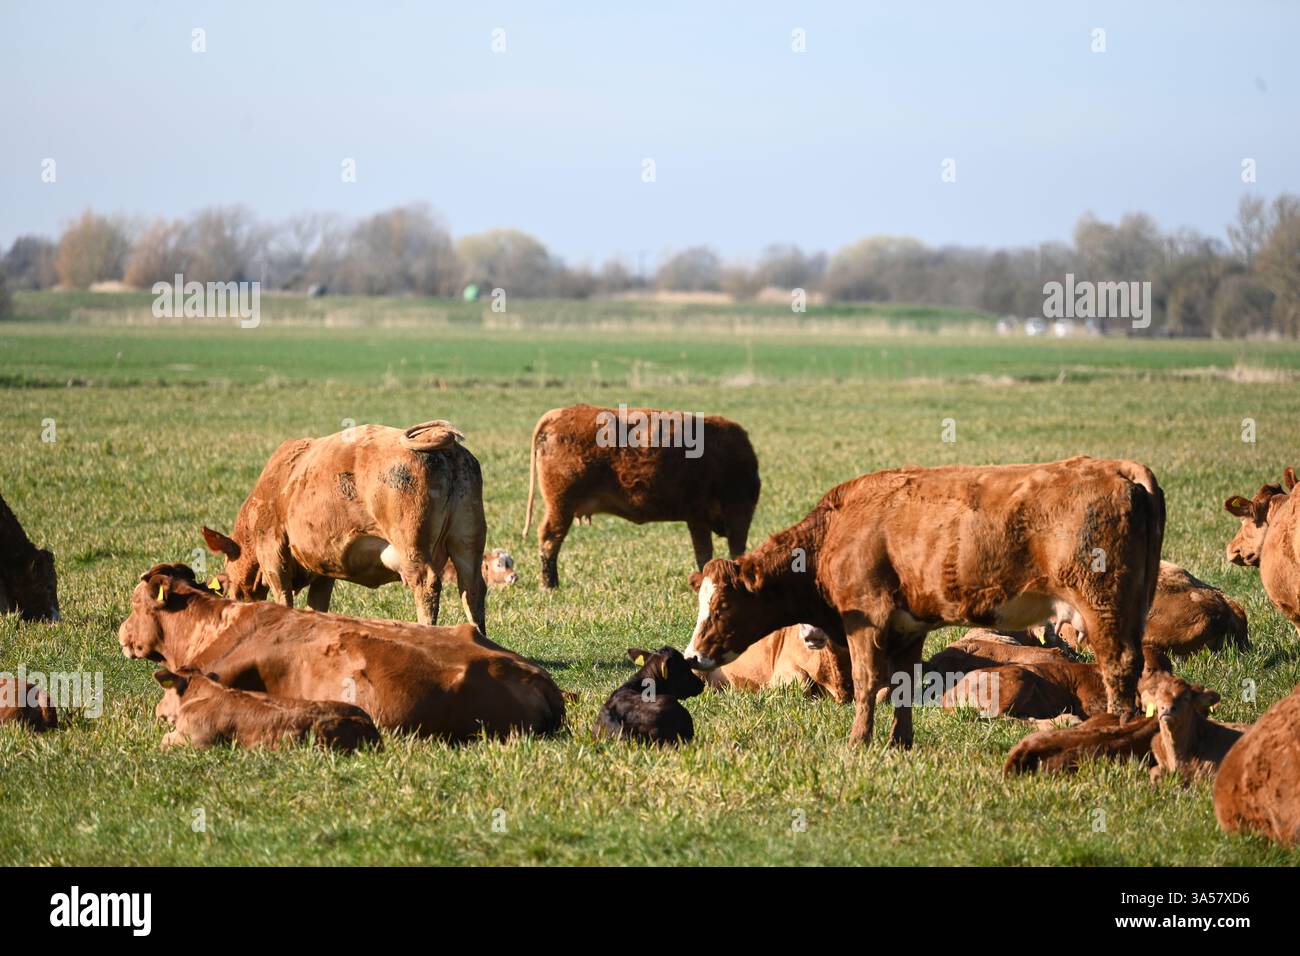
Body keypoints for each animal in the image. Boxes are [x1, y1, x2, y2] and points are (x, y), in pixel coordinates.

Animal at [200, 420, 488, 633]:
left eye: (226, 586)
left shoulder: (272, 554)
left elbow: (284, 598)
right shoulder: (324, 569)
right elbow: (316, 606)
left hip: (413, 549)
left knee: (427, 587)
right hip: (467, 543)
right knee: (473, 588)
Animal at [521, 404, 760, 589]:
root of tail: (559, 413)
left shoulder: (697, 519)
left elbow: (704, 554)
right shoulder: (738, 512)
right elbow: (736, 551)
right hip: (561, 504)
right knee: (550, 538)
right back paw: (550, 585)